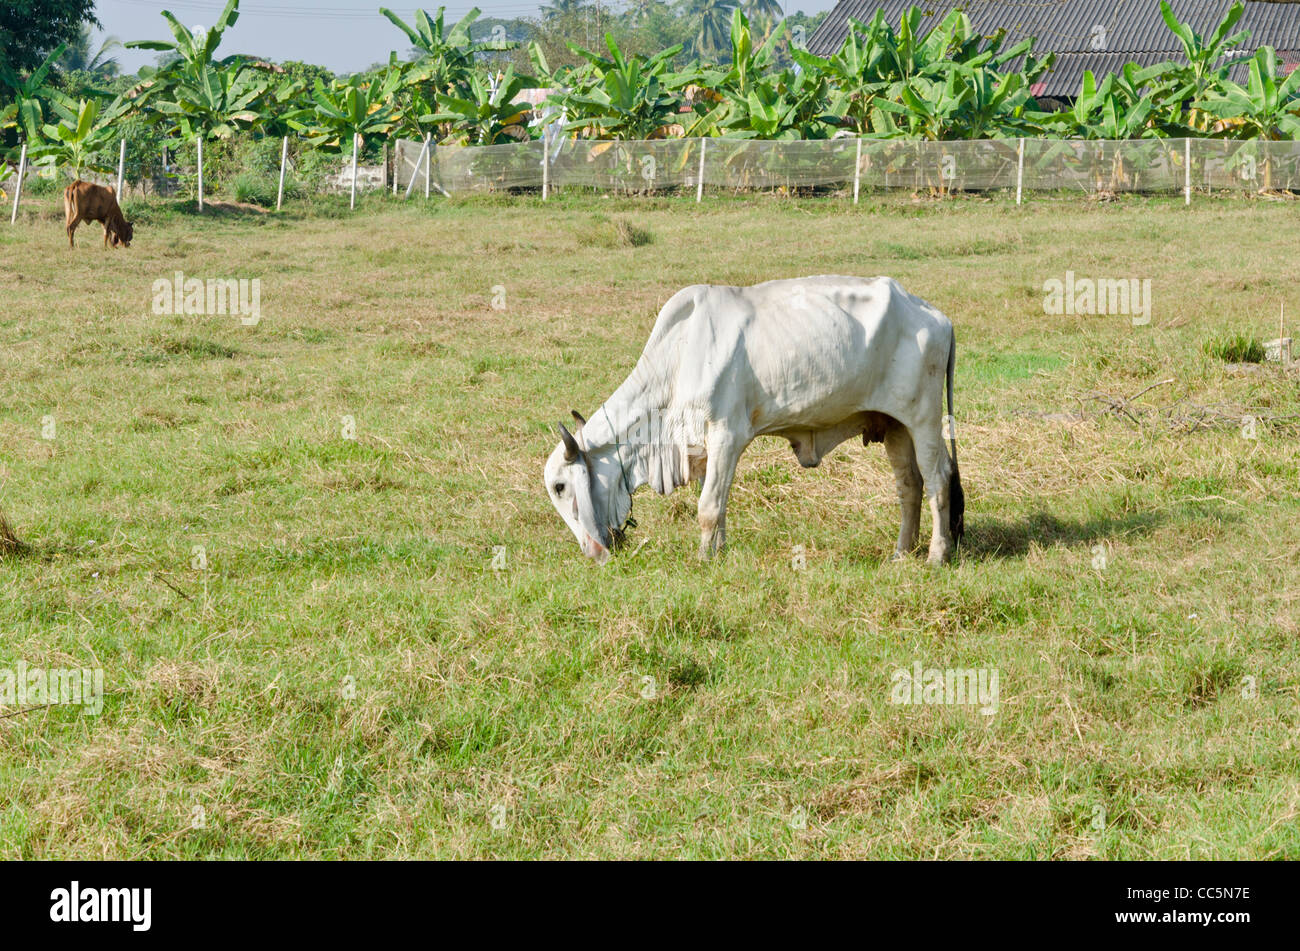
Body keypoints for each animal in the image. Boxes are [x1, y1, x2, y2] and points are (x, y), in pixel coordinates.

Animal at [543, 275, 964, 565]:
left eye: (561, 487)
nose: (592, 552)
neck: (679, 357)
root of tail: (938, 317)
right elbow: (720, 504)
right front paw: (718, 552)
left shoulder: (726, 435)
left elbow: (709, 507)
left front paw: (703, 560)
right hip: (895, 425)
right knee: (910, 486)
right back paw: (900, 553)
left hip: (924, 421)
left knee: (938, 480)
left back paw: (936, 555)